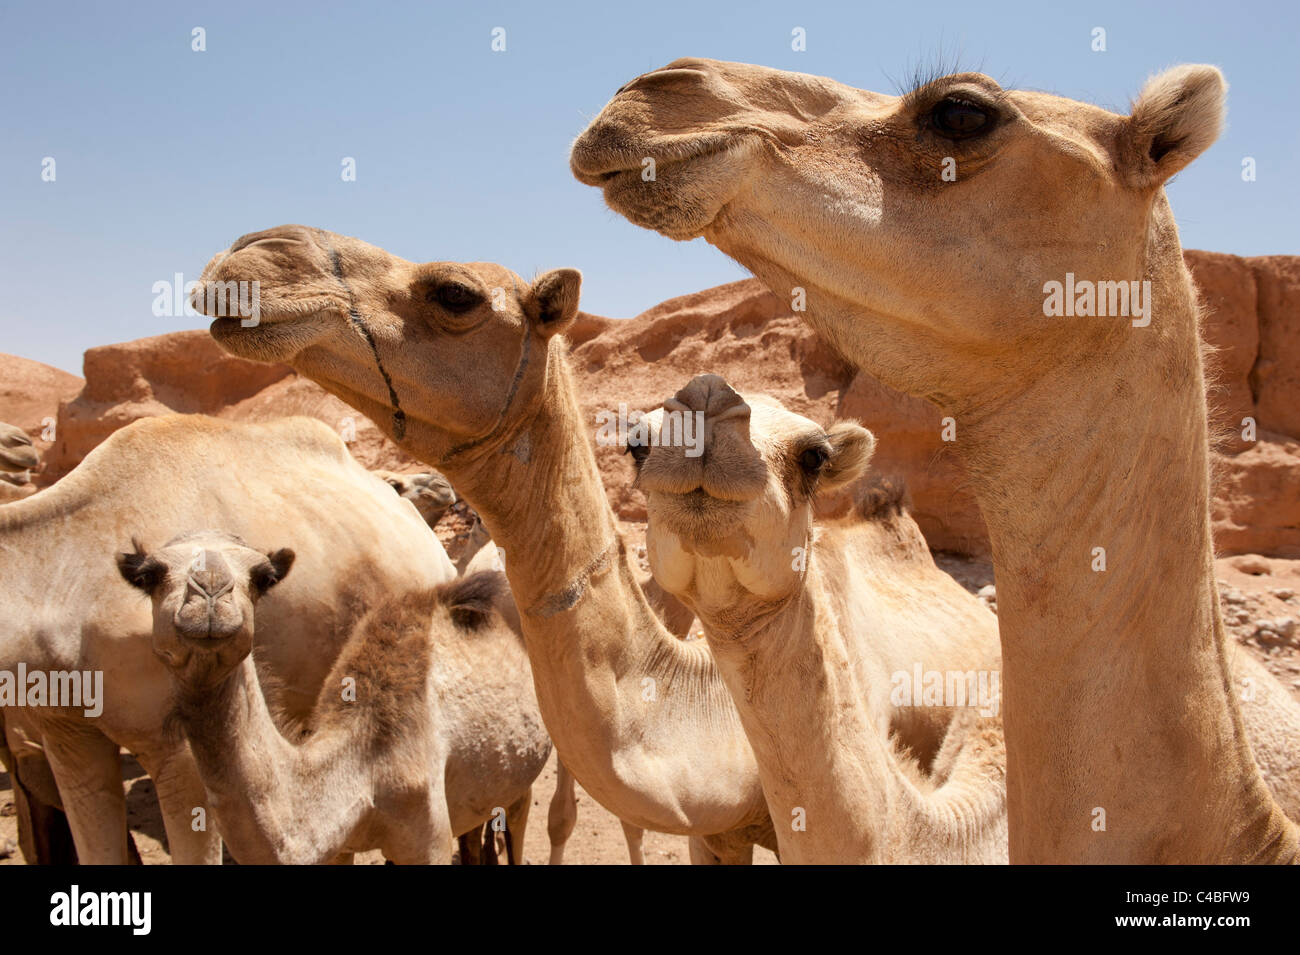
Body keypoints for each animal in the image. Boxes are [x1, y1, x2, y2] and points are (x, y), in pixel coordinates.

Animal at [117, 530, 548, 864]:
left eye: (262, 576)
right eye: (149, 575)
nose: (210, 589)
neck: (364, 767)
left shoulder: (427, 836)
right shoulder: (340, 847)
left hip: (524, 774)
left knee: (516, 822)